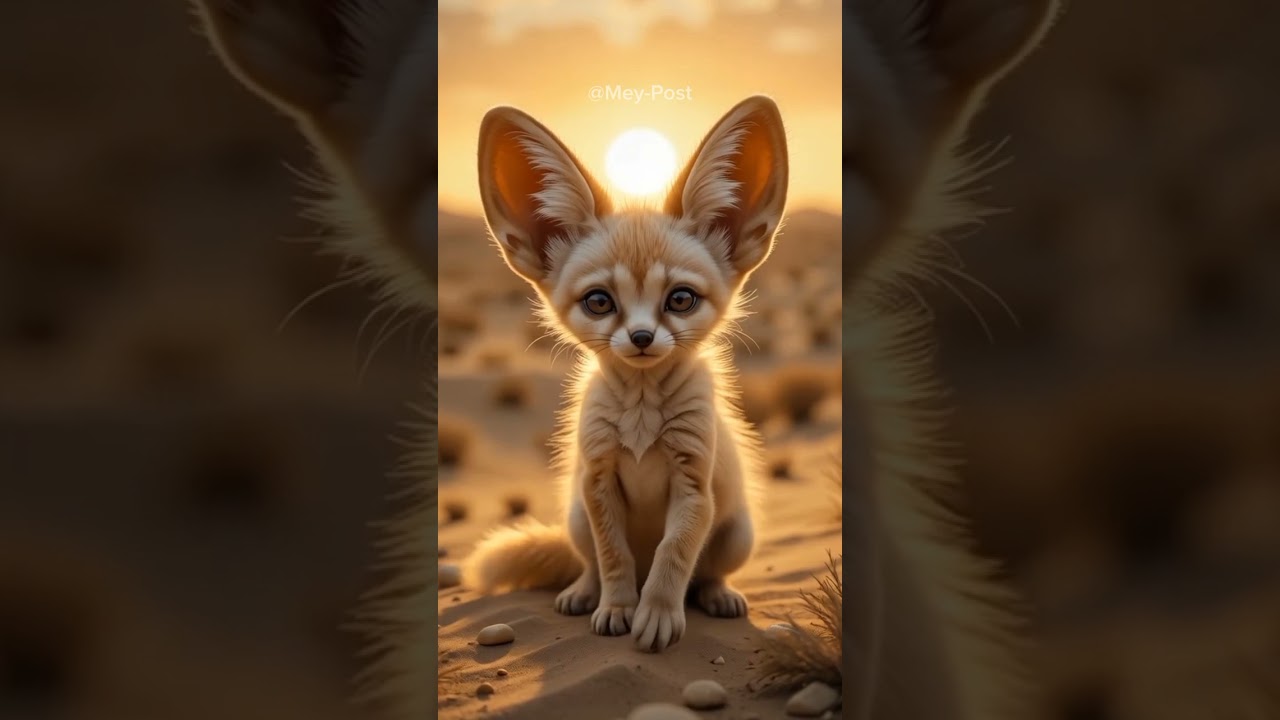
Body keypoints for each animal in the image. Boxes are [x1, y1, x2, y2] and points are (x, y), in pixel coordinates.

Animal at [461, 96, 786, 652]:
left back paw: (718, 595)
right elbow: (614, 556)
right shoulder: (597, 481)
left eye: (681, 299)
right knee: (590, 562)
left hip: (738, 535)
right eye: (599, 302)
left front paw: (655, 615)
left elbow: (672, 556)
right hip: (575, 517)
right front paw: (617, 607)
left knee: (704, 574)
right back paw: (582, 592)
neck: (640, 415)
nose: (640, 338)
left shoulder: (693, 484)